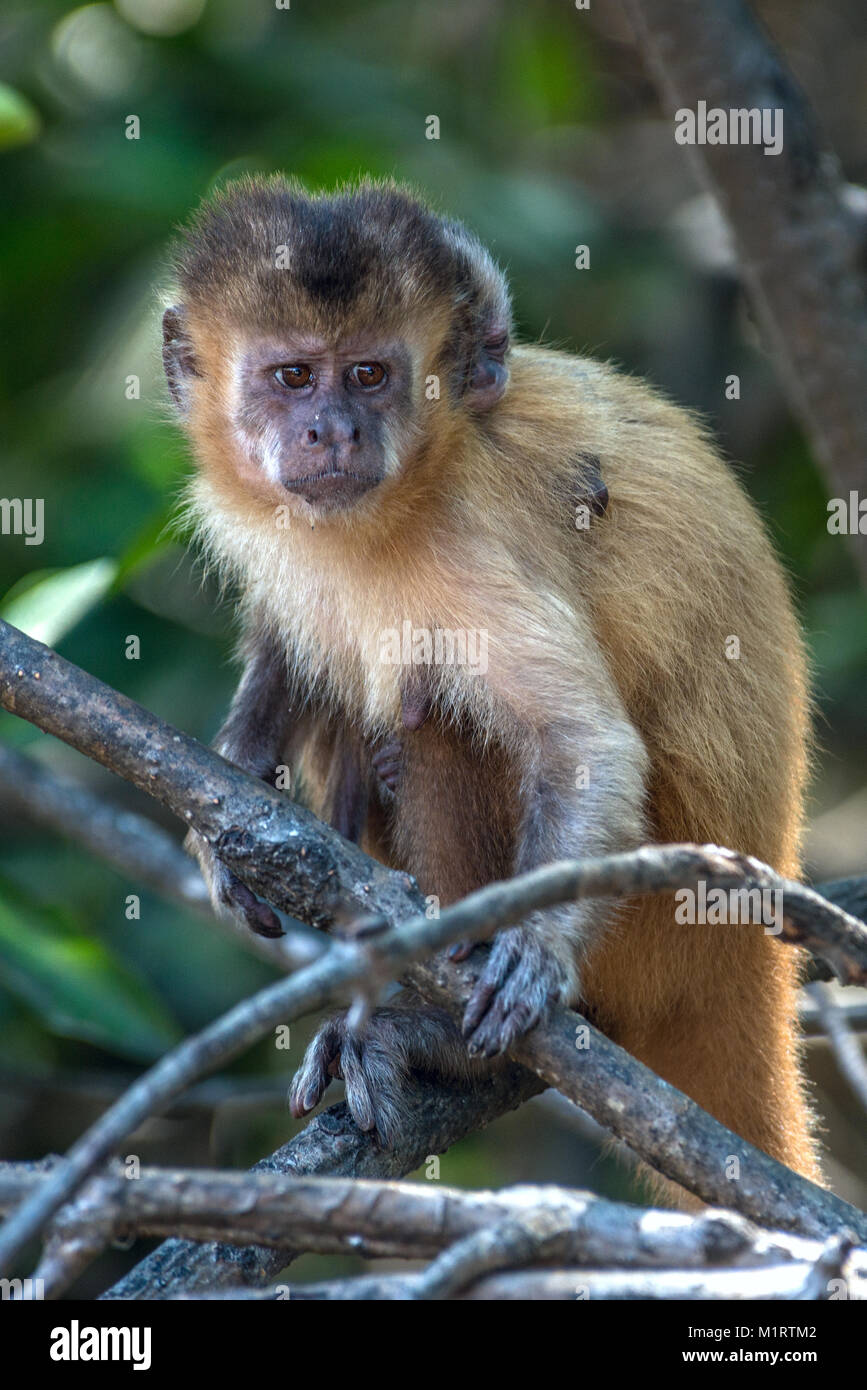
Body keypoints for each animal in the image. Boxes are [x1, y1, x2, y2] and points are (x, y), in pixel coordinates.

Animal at [163, 174, 820, 1187]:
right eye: (292, 378)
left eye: (368, 376)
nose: (329, 430)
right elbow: (288, 647)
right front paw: (225, 810)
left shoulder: (471, 535)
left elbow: (579, 744)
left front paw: (532, 950)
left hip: (654, 932)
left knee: (436, 712)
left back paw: (434, 1034)